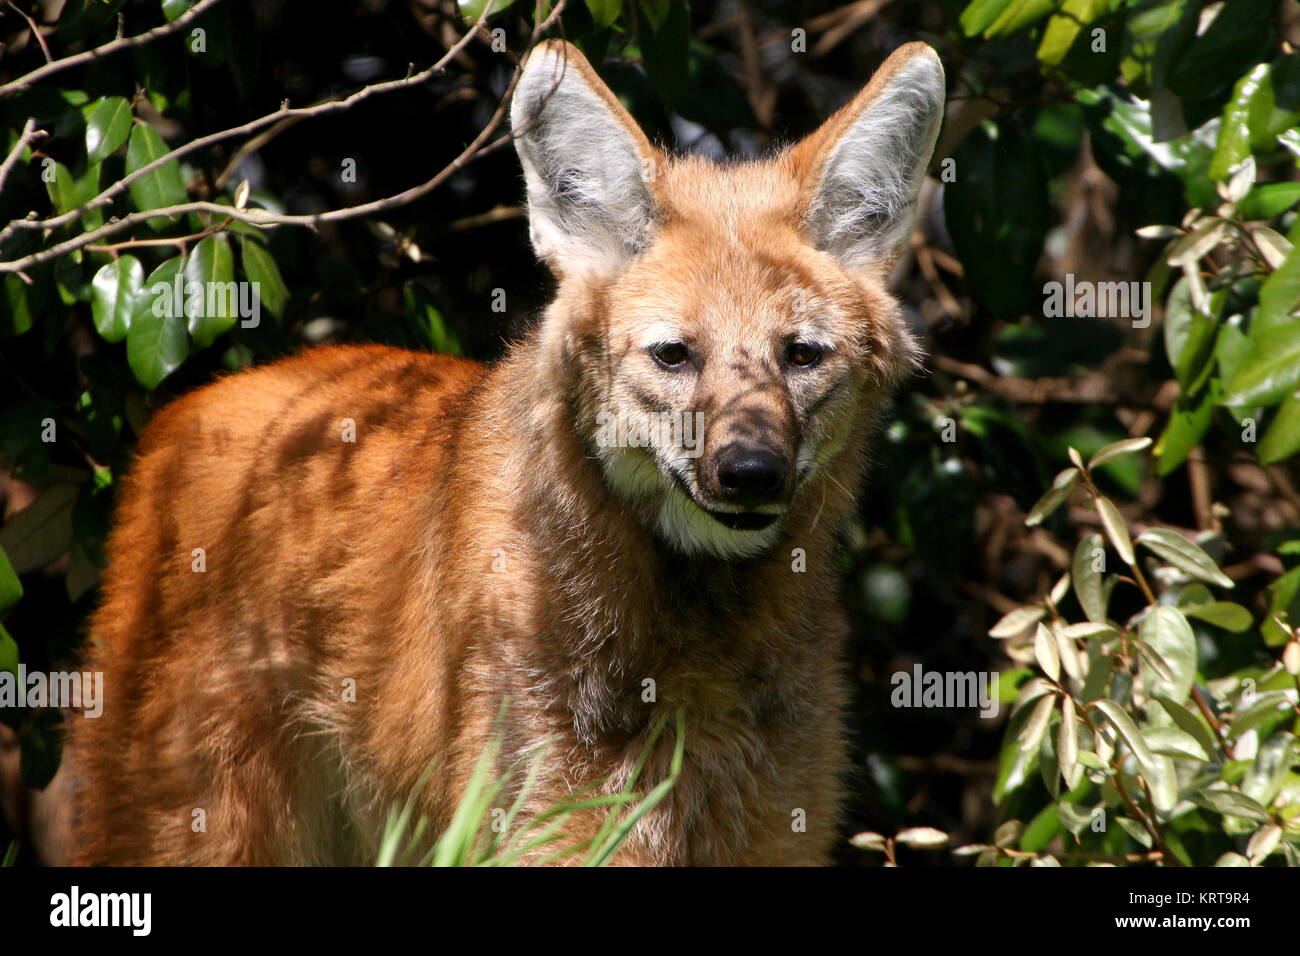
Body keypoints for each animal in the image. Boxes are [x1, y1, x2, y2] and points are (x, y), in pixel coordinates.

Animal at [60, 38, 944, 865]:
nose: (751, 473)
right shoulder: (547, 824)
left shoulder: (770, 831)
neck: (689, 646)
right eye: (674, 355)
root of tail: (190, 405)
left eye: (801, 356)